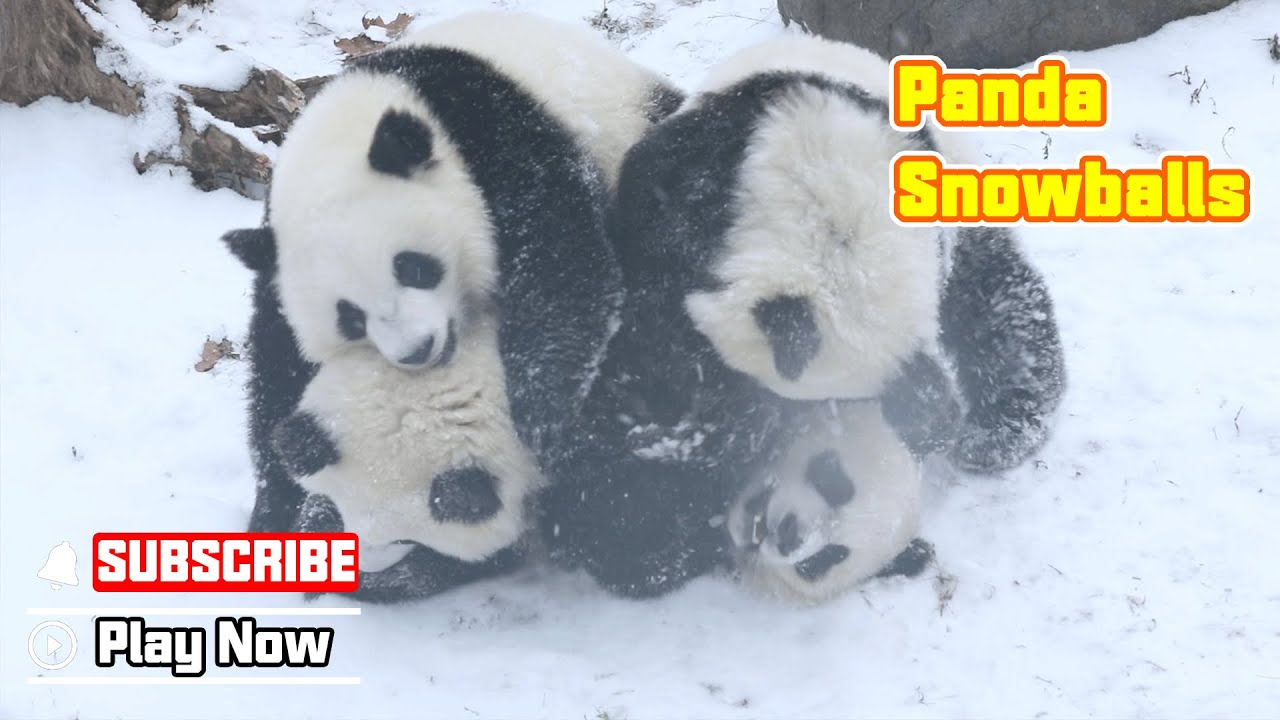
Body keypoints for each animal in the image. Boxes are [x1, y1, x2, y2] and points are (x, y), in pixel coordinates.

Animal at [224, 11, 686, 600]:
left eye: (414, 267)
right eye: (349, 317)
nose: (418, 351)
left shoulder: (499, 141)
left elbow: (564, 268)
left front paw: (545, 418)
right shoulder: (276, 258)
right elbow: (279, 361)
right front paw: (275, 514)